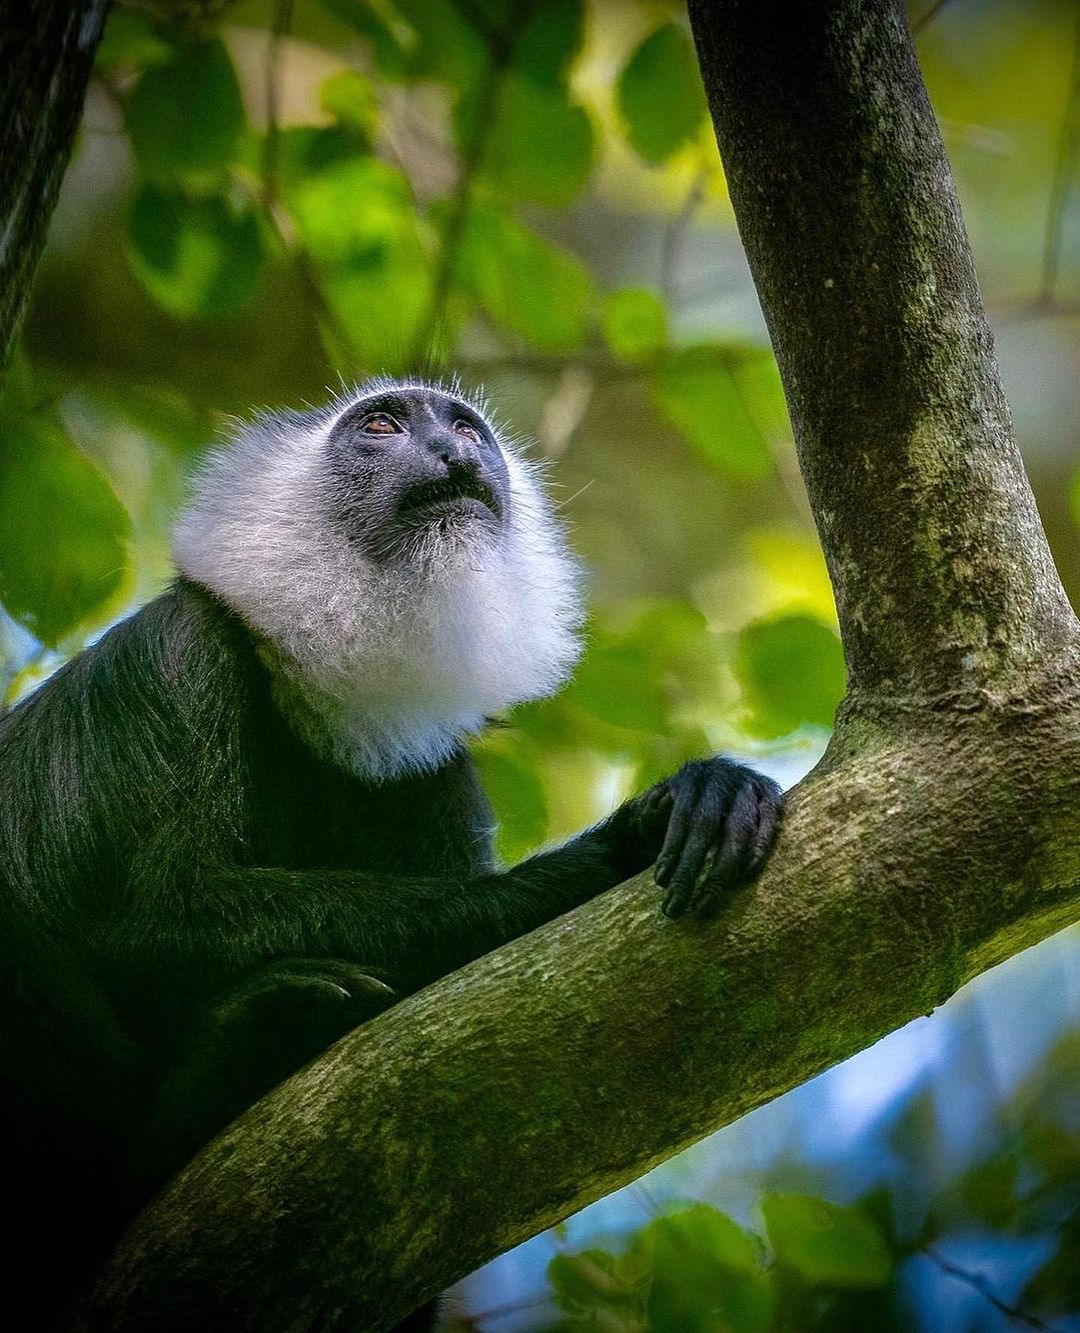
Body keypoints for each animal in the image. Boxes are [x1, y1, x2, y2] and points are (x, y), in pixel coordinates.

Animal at [0, 378, 783, 1328]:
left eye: (463, 427)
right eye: (382, 425)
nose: (455, 452)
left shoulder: (432, 774)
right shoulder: (180, 659)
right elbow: (147, 924)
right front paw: (619, 843)